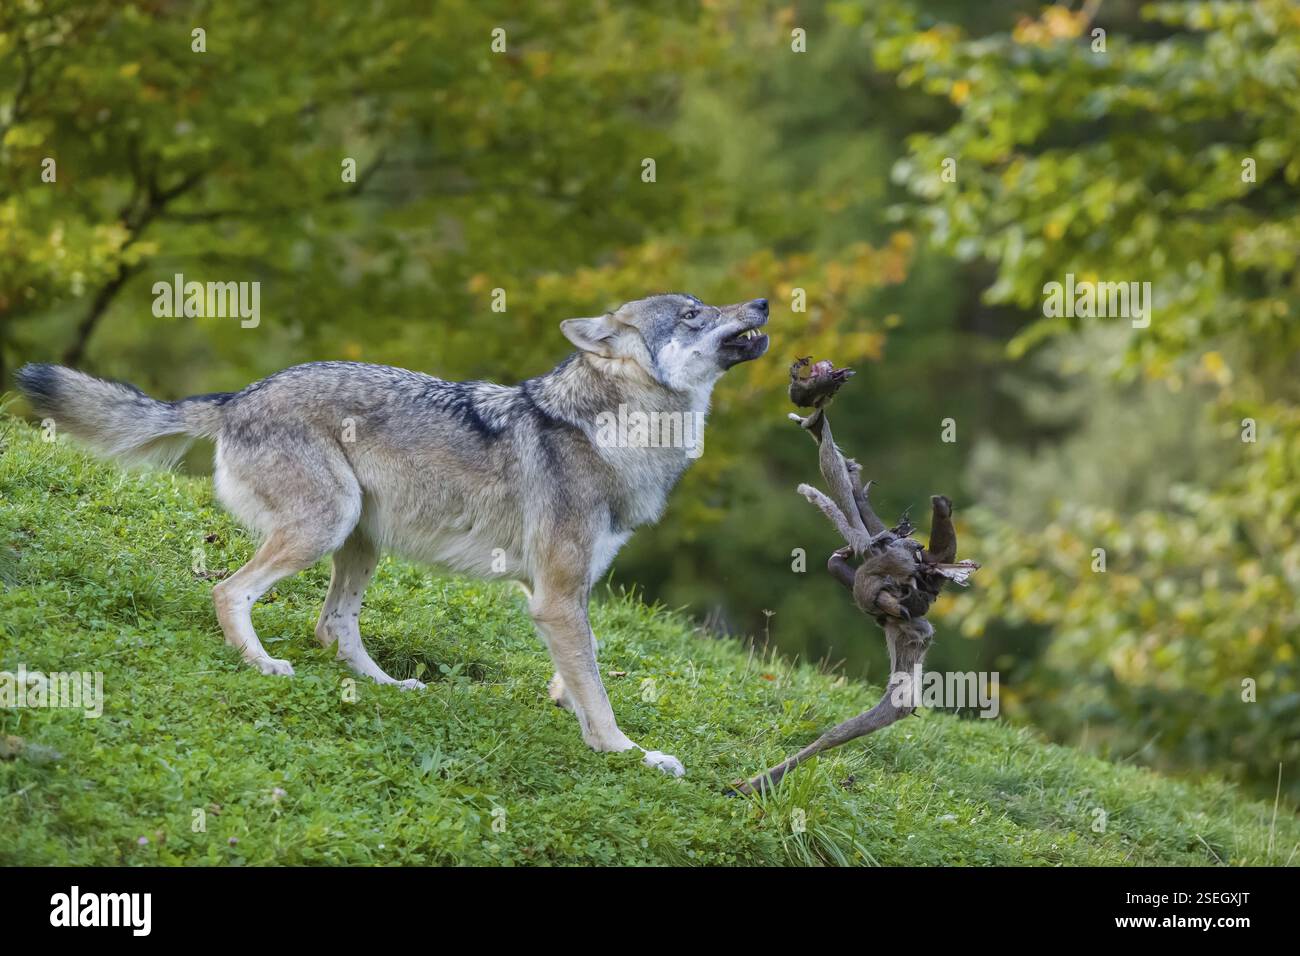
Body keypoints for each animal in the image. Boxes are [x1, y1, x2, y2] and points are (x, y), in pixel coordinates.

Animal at [17, 294, 769, 775]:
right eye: (694, 313)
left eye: (709, 302)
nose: (763, 304)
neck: (620, 433)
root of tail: (238, 397)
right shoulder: (556, 596)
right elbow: (600, 690)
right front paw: (627, 753)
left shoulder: (562, 594)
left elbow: (581, 670)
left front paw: (572, 710)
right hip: (325, 527)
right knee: (231, 592)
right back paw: (263, 664)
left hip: (360, 540)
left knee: (331, 625)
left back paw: (388, 686)